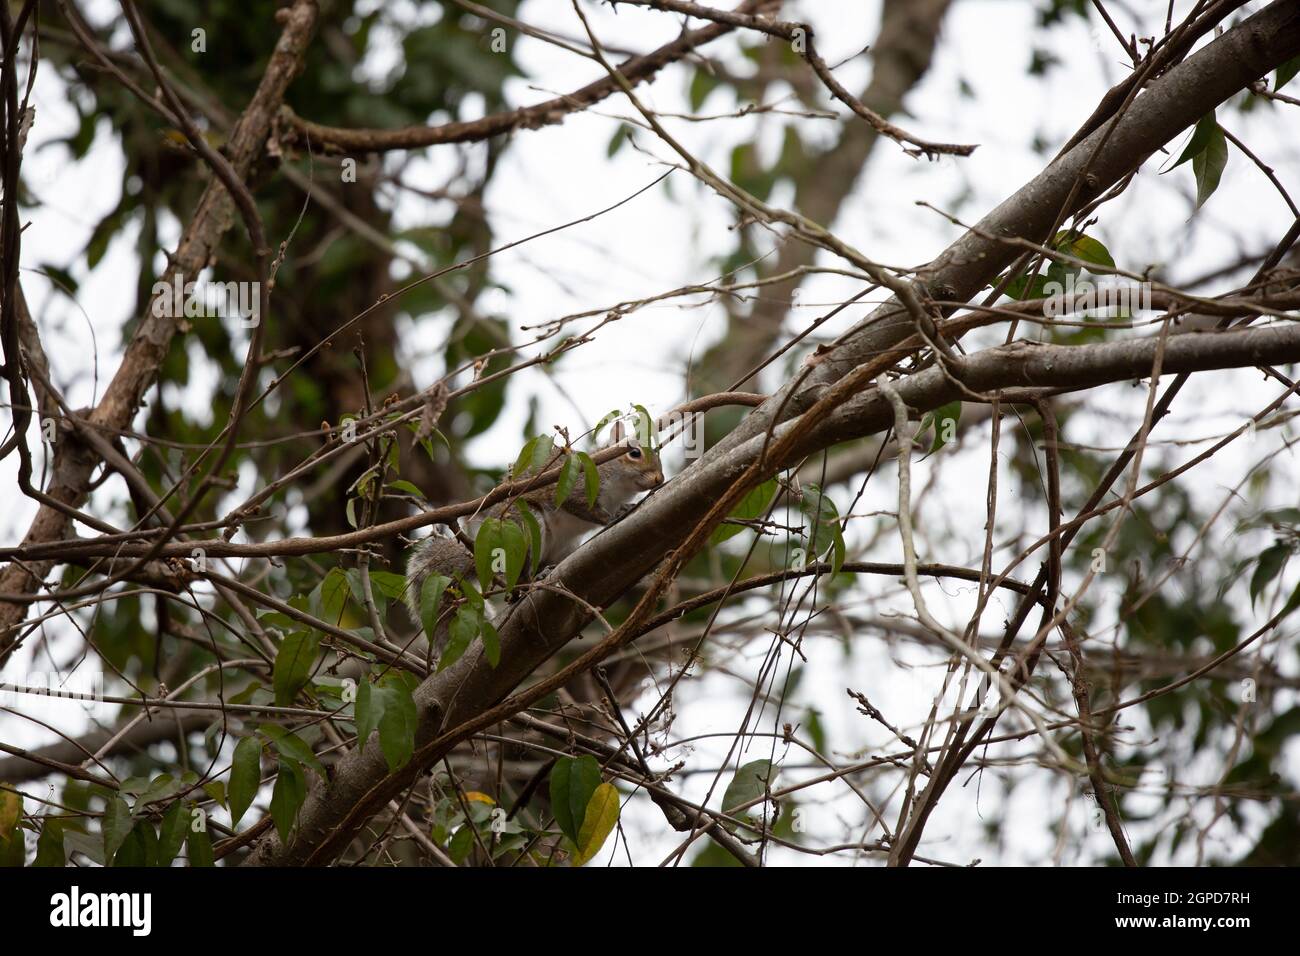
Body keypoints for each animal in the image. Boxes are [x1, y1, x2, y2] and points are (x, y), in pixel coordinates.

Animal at [405, 421, 664, 653]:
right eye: (634, 453)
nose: (659, 479)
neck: (619, 485)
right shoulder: (578, 485)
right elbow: (584, 508)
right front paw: (612, 515)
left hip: (564, 547)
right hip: (526, 528)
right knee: (522, 574)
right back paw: (534, 579)